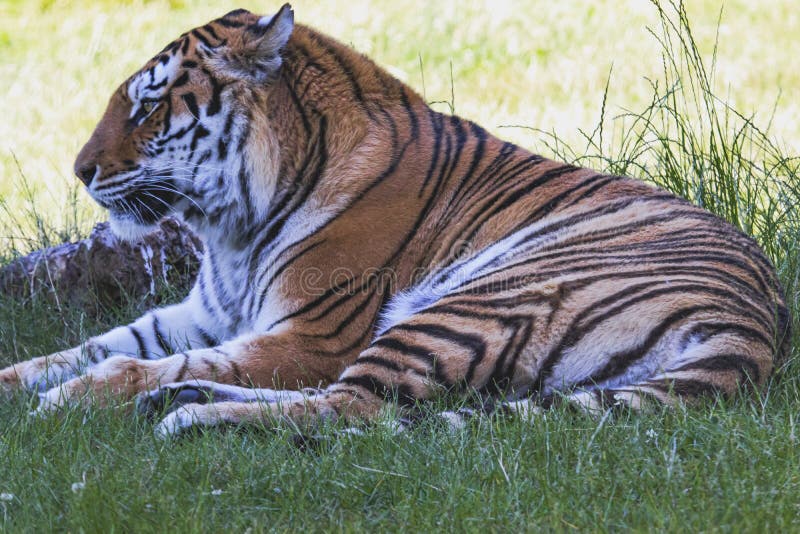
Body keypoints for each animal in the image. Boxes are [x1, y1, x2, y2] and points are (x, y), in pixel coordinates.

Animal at [0, 4, 790, 438]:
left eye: (148, 106)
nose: (79, 170)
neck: (228, 231)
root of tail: (756, 327)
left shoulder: (313, 333)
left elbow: (126, 362)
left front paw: (66, 402)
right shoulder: (202, 312)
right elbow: (84, 348)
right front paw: (23, 382)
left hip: (477, 300)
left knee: (352, 408)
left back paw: (186, 414)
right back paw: (179, 400)